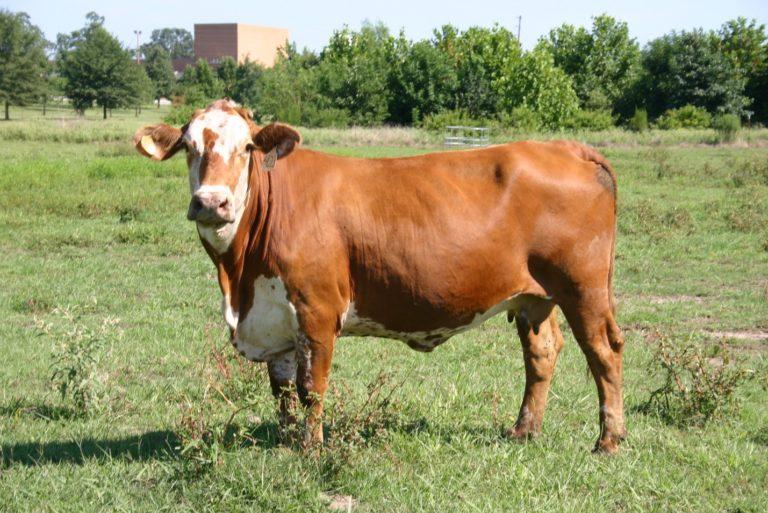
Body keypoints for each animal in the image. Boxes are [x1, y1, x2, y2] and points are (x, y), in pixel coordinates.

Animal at [134, 99, 625, 453]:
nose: (210, 202)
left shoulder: (317, 311)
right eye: (189, 148)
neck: (239, 278)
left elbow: (312, 388)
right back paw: (524, 431)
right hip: (535, 296)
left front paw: (311, 450)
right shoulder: (275, 317)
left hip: (583, 288)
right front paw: (287, 443)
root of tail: (564, 147)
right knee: (542, 352)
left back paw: (608, 441)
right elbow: (283, 392)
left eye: (246, 149)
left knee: (604, 352)